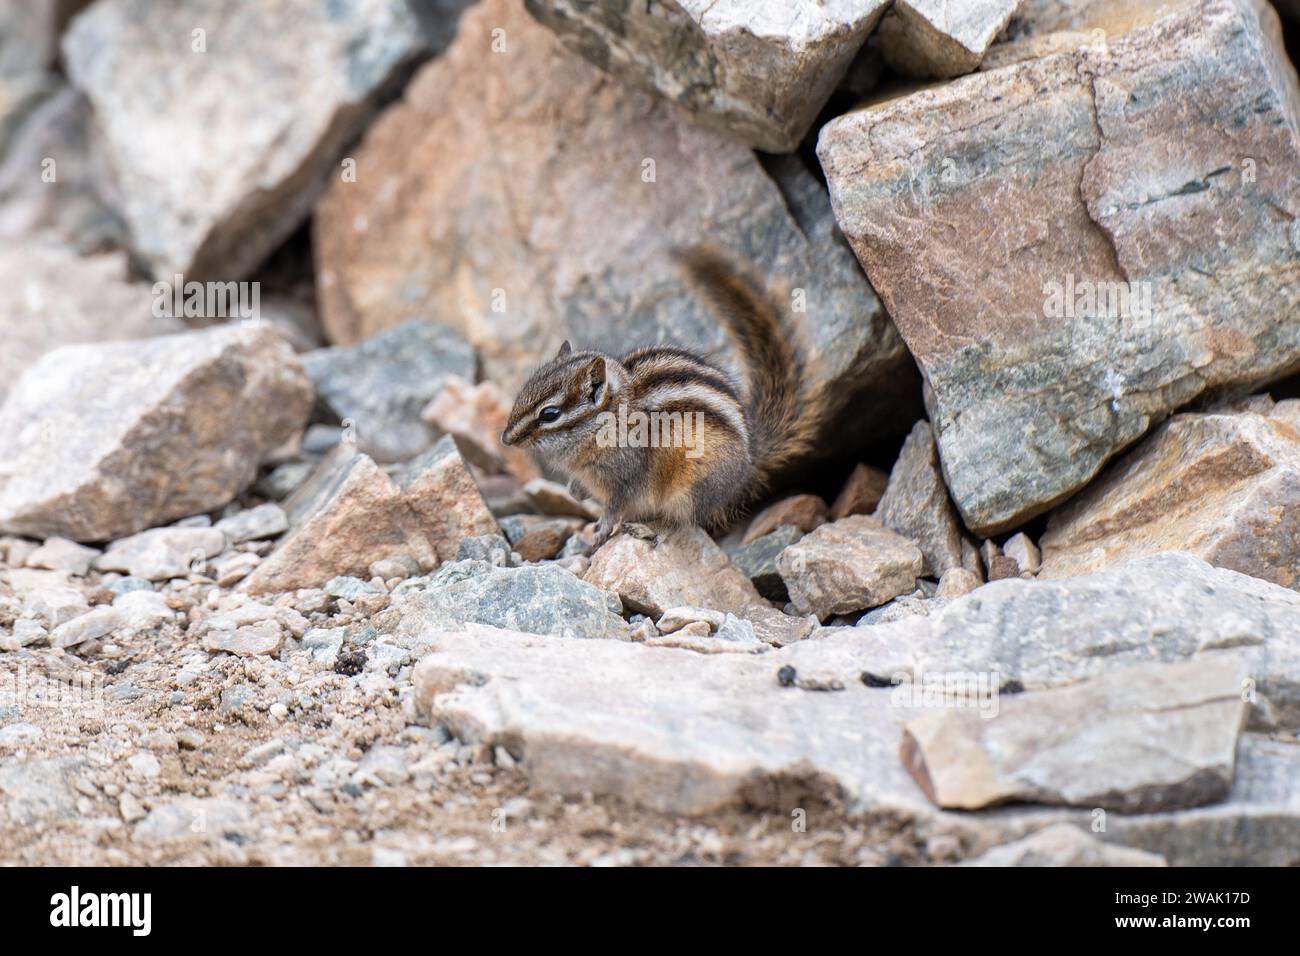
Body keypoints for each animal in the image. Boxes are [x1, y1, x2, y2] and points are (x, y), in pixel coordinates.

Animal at [500, 246, 825, 547]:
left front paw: (601, 531)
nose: (506, 439)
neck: (608, 421)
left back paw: (646, 529)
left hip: (688, 488)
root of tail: (749, 460)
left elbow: (615, 506)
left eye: (550, 414)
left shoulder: (626, 478)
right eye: (525, 389)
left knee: (683, 523)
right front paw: (574, 490)